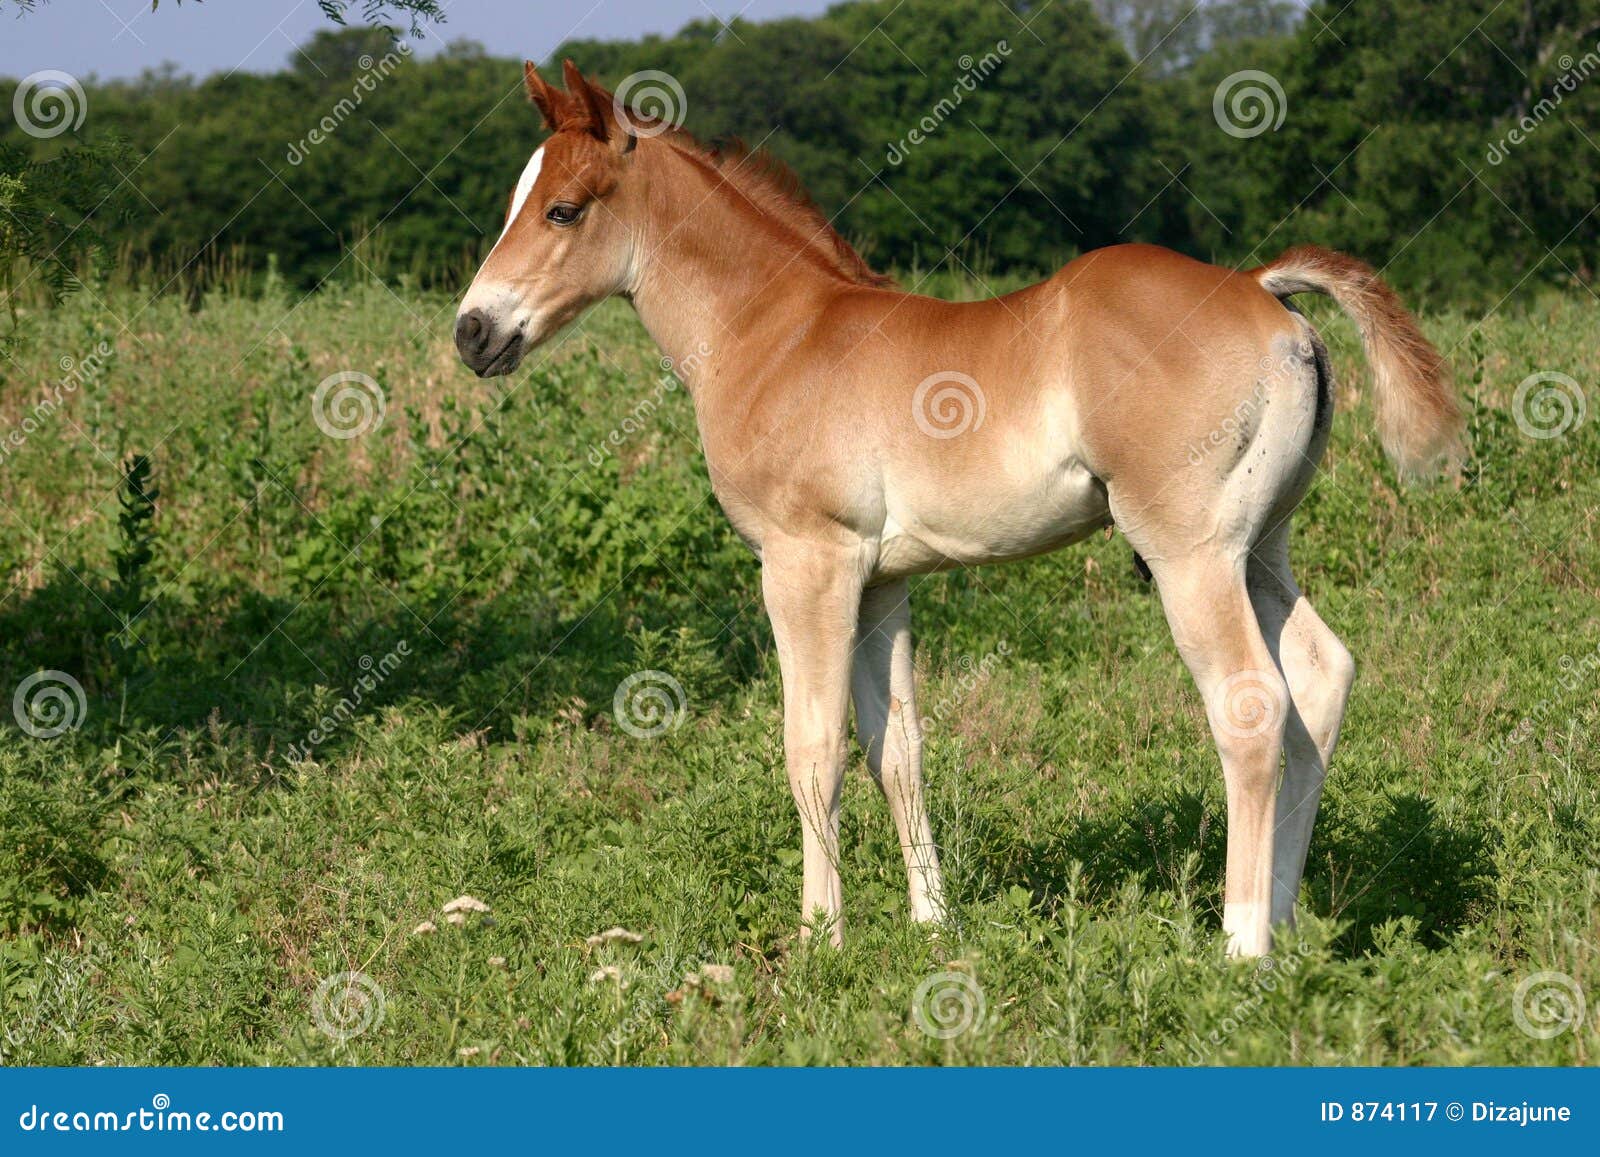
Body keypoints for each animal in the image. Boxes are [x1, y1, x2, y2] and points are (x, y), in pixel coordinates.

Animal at [454, 61, 1463, 957]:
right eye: (514, 201)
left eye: (564, 208)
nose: (473, 331)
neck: (777, 332)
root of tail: (1266, 294)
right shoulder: (881, 584)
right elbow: (895, 748)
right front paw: (934, 925)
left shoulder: (805, 565)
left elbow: (811, 748)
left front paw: (821, 939)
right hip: (1261, 549)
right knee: (1320, 680)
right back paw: (1288, 928)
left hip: (1191, 553)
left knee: (1252, 706)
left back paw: (1242, 944)